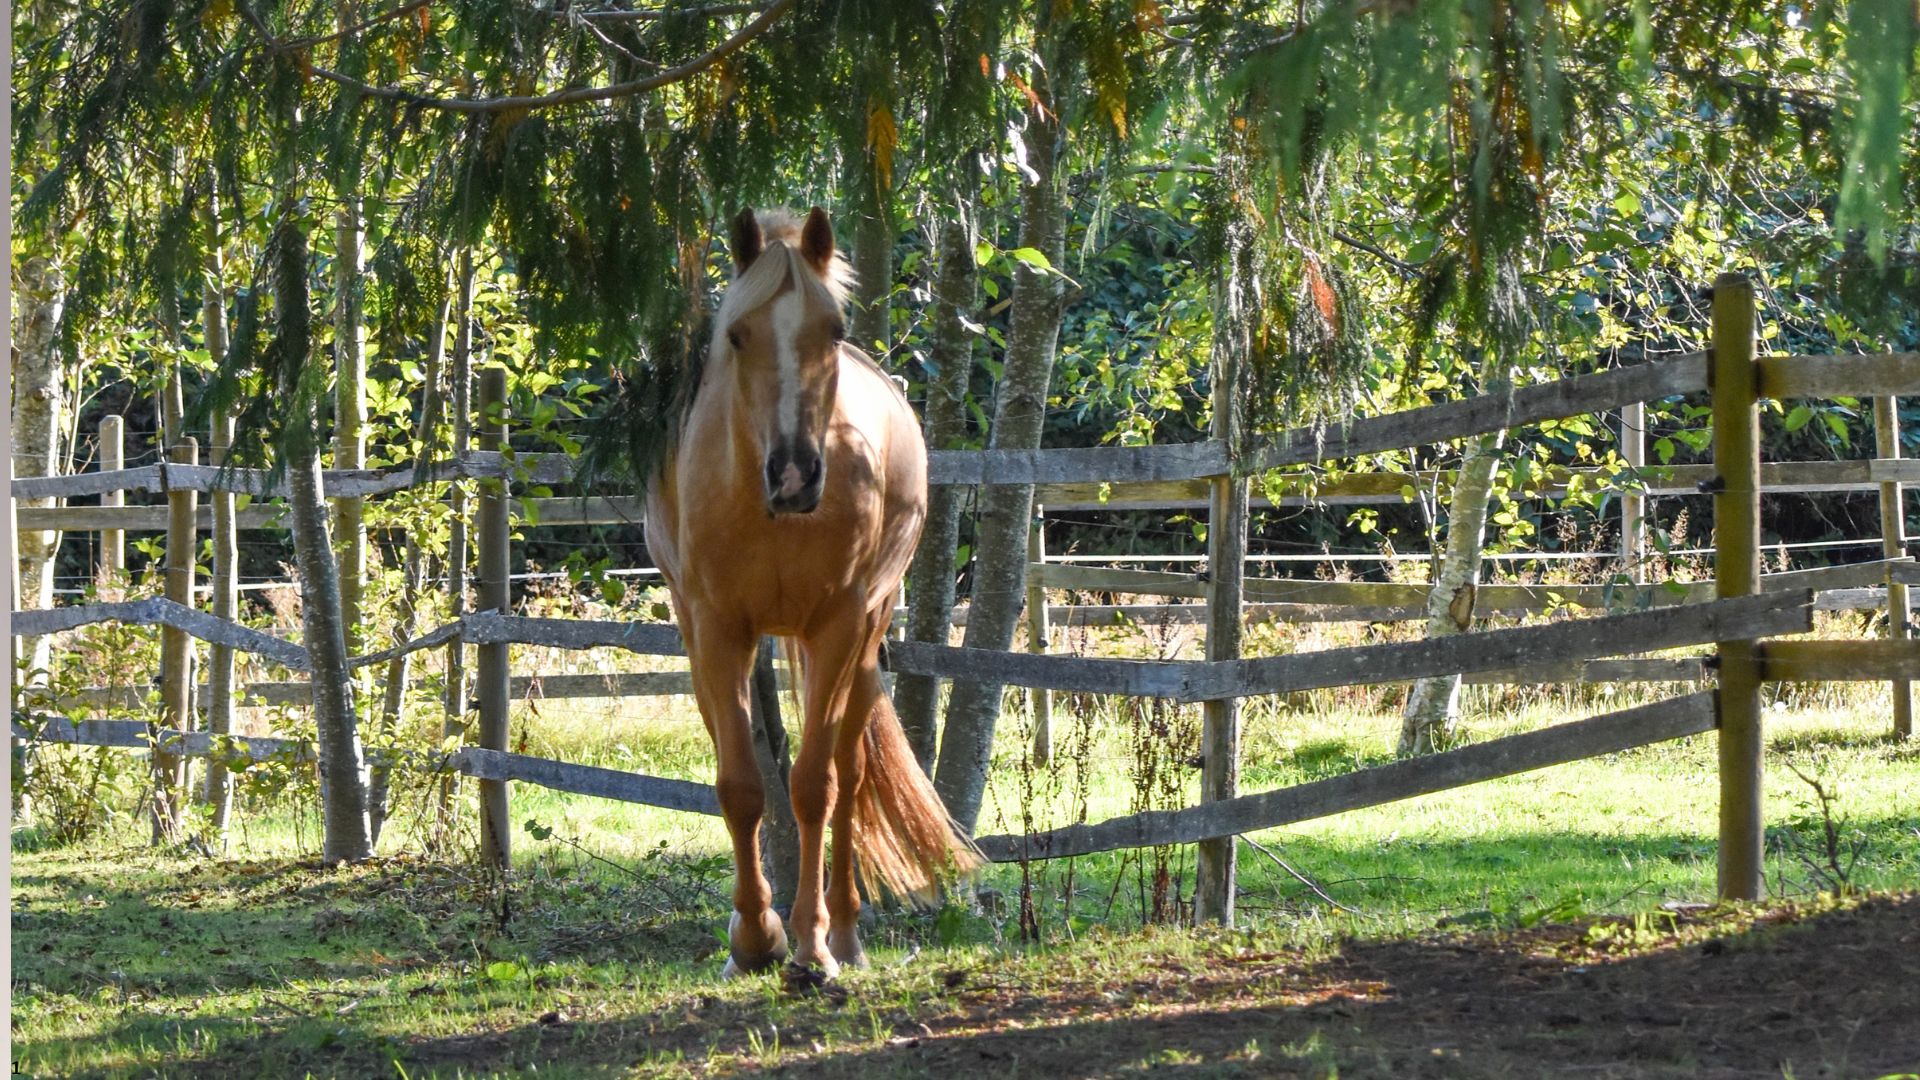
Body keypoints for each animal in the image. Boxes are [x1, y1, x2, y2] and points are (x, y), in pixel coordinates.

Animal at [645, 206, 983, 978]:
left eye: (832, 329)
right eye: (738, 334)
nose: (795, 474)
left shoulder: (838, 626)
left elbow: (814, 786)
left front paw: (810, 944)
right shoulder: (717, 630)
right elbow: (741, 787)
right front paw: (752, 938)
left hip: (865, 635)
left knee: (850, 775)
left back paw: (847, 933)